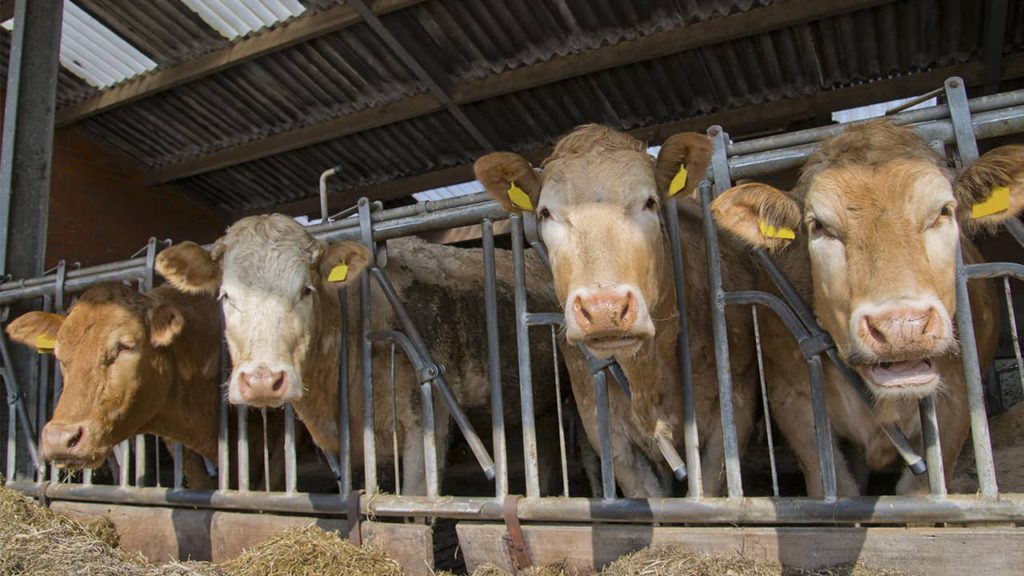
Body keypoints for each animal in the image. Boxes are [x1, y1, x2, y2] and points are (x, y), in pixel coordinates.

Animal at [475, 125, 760, 497]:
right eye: (545, 213)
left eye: (650, 202)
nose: (602, 309)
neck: (648, 378)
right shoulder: (604, 429)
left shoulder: (734, 412)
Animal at [710, 120, 1016, 495]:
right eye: (819, 226)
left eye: (943, 211)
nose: (903, 327)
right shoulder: (795, 403)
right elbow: (836, 487)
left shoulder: (956, 404)